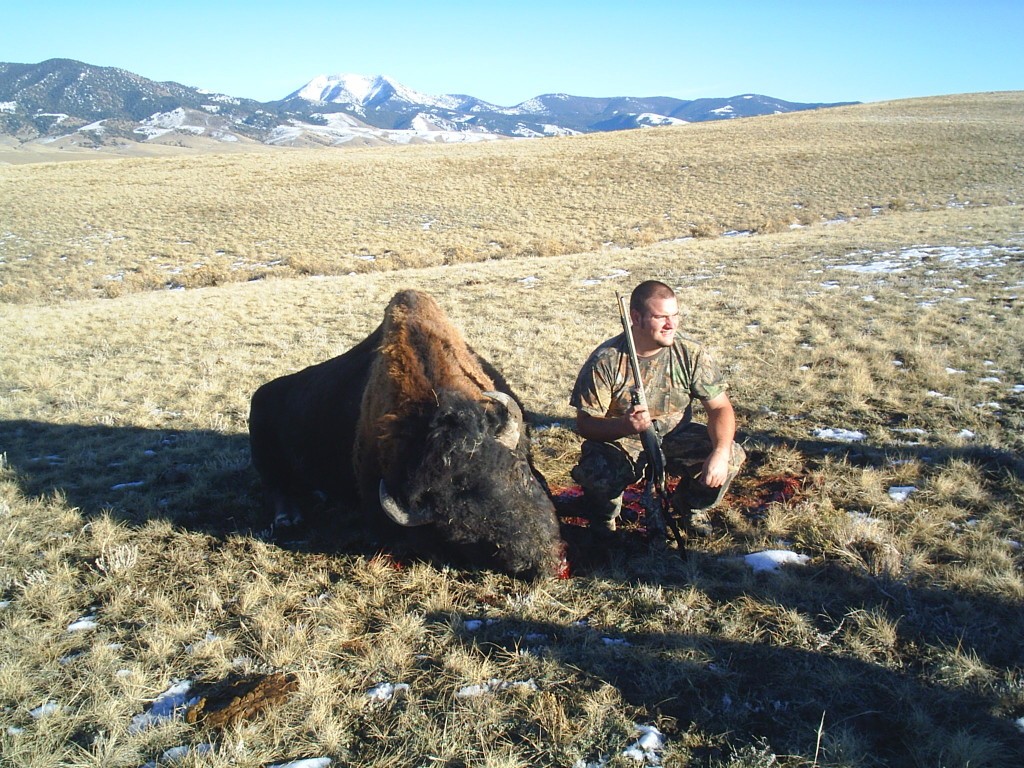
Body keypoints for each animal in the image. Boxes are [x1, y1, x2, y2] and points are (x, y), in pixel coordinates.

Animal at [249, 289, 565, 578]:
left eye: (520, 473)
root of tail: (261, 393)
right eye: (465, 533)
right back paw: (288, 518)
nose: (547, 563)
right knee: (276, 486)